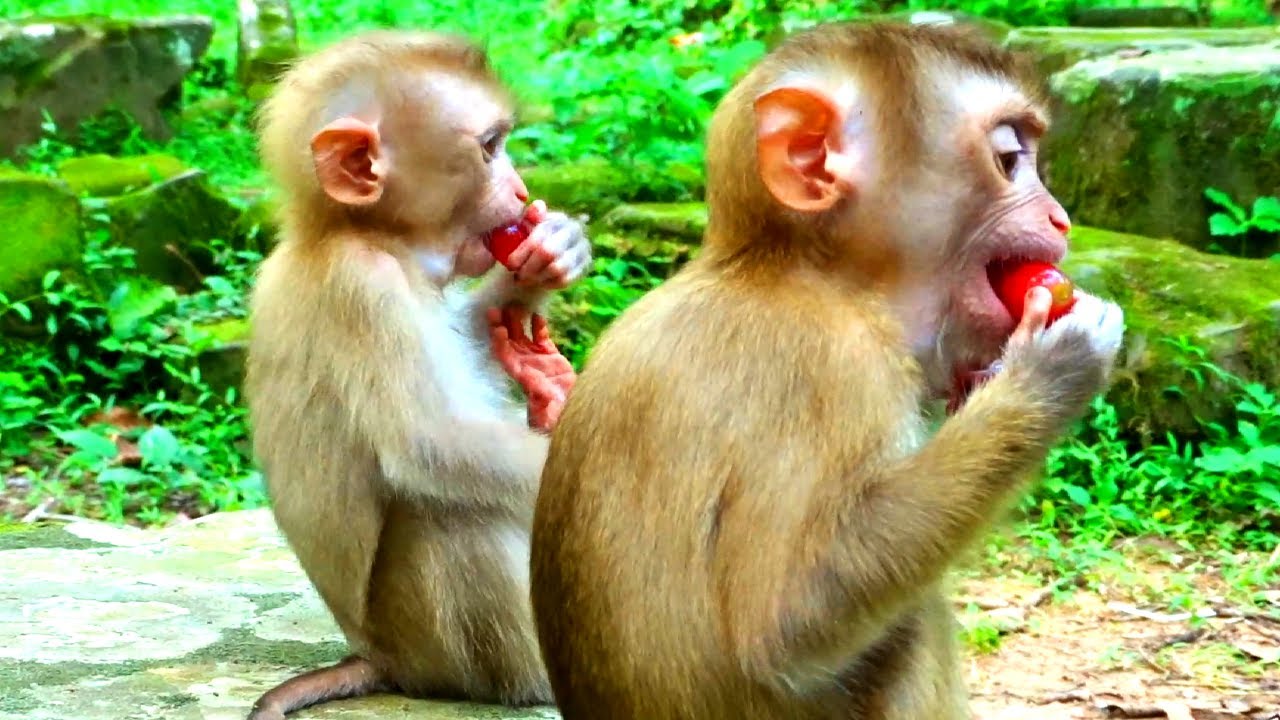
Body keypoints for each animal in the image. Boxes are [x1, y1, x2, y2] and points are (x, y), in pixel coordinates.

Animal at [241, 30, 590, 720]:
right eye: (490, 147)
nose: (520, 192)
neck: (366, 235)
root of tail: (377, 658)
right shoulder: (363, 290)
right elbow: (433, 440)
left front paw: (543, 263)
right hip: (430, 641)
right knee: (454, 511)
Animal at [528, 20, 1125, 720]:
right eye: (1008, 158)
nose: (1061, 218)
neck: (793, 272)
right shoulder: (830, 367)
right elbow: (783, 621)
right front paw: (1053, 369)